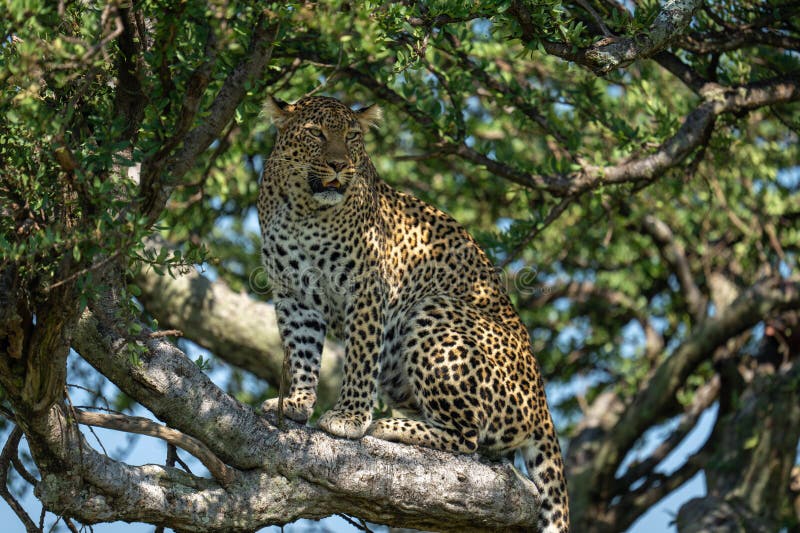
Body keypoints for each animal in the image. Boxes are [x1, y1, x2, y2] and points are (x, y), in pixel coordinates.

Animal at [257, 95, 569, 532]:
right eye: (316, 134)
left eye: (351, 137)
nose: (338, 165)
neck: (305, 208)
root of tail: (543, 405)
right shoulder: (293, 295)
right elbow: (300, 353)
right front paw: (297, 403)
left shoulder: (368, 287)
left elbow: (360, 358)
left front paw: (349, 418)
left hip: (432, 310)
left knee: (468, 436)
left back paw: (388, 426)